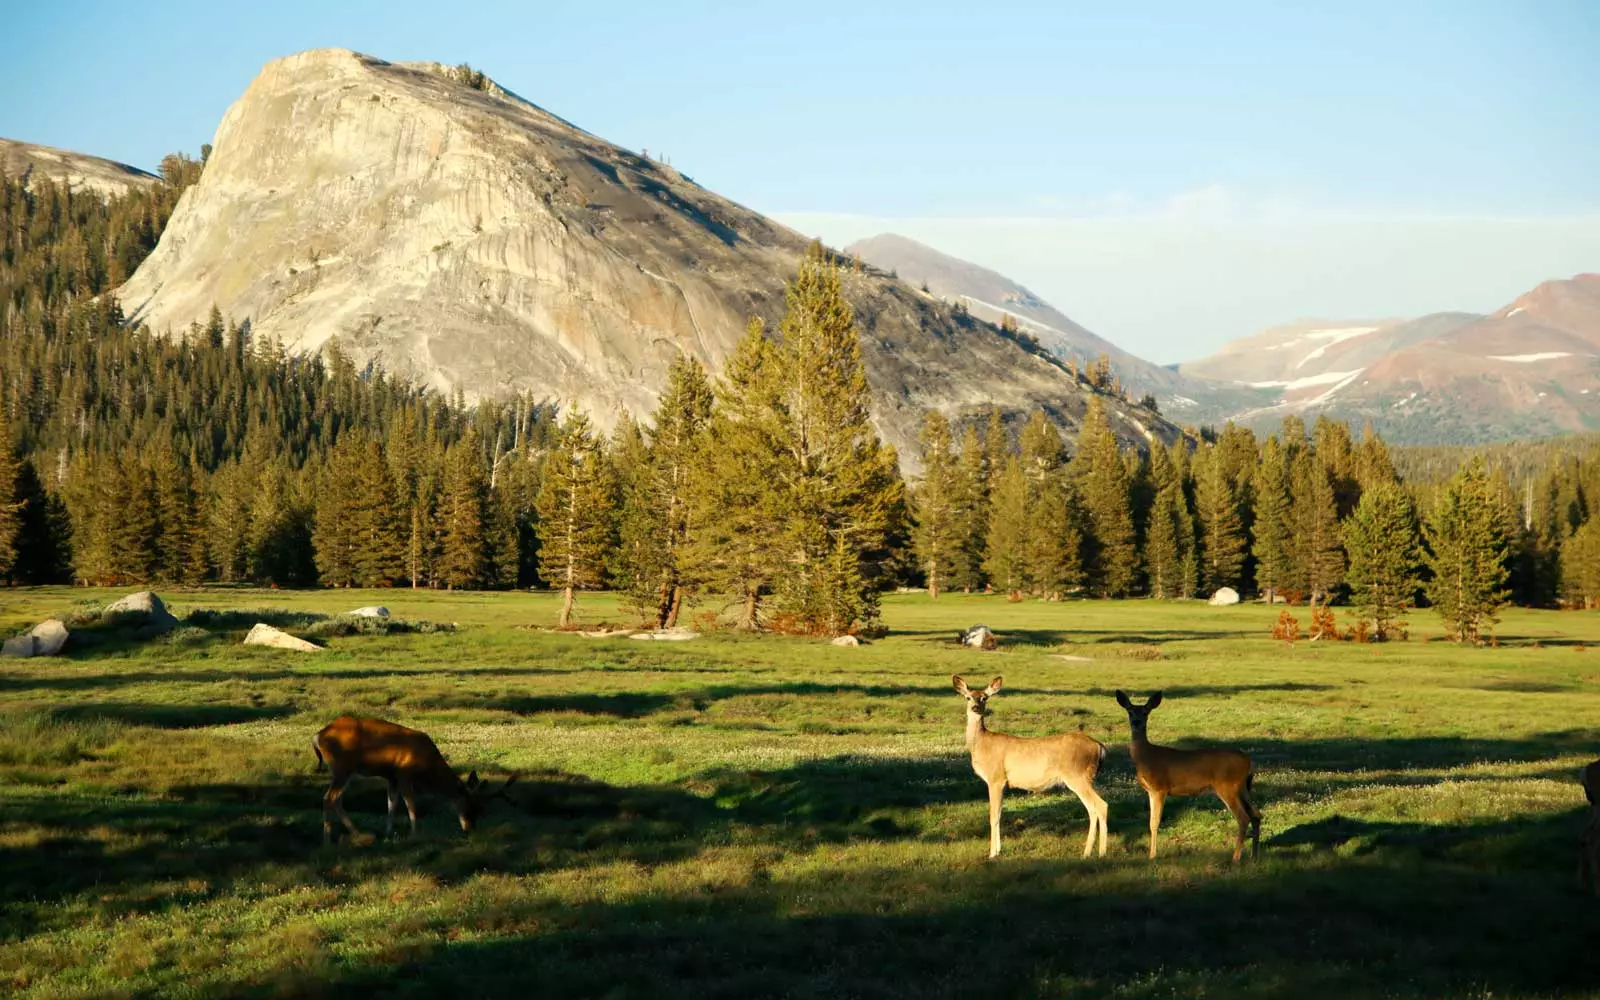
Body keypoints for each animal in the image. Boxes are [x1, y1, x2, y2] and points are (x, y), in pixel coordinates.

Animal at [308, 710, 515, 844]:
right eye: (471, 808)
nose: (470, 830)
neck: (428, 765)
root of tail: (317, 737)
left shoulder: (392, 777)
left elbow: (391, 805)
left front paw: (388, 833)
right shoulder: (404, 773)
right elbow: (411, 805)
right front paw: (416, 833)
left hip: (343, 770)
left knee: (336, 799)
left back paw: (355, 834)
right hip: (343, 767)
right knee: (329, 798)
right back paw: (329, 839)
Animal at [953, 672, 1107, 857]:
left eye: (984, 697)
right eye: (968, 697)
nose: (975, 708)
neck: (982, 745)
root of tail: (1099, 746)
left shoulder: (996, 778)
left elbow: (993, 815)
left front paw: (992, 854)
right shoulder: (1003, 783)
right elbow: (1000, 813)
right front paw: (998, 849)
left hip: (1077, 775)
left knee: (1101, 805)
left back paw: (1100, 853)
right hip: (1086, 776)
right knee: (1093, 808)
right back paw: (1088, 852)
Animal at [1113, 694, 1260, 857]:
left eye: (1146, 712)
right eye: (1130, 711)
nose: (1136, 722)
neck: (1145, 757)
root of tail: (1249, 761)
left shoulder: (1160, 788)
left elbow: (1155, 823)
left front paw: (1152, 856)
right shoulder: (1150, 791)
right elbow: (1151, 823)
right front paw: (1151, 854)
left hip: (1227, 786)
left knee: (1243, 818)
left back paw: (1235, 858)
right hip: (1242, 787)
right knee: (1256, 815)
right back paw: (1254, 856)